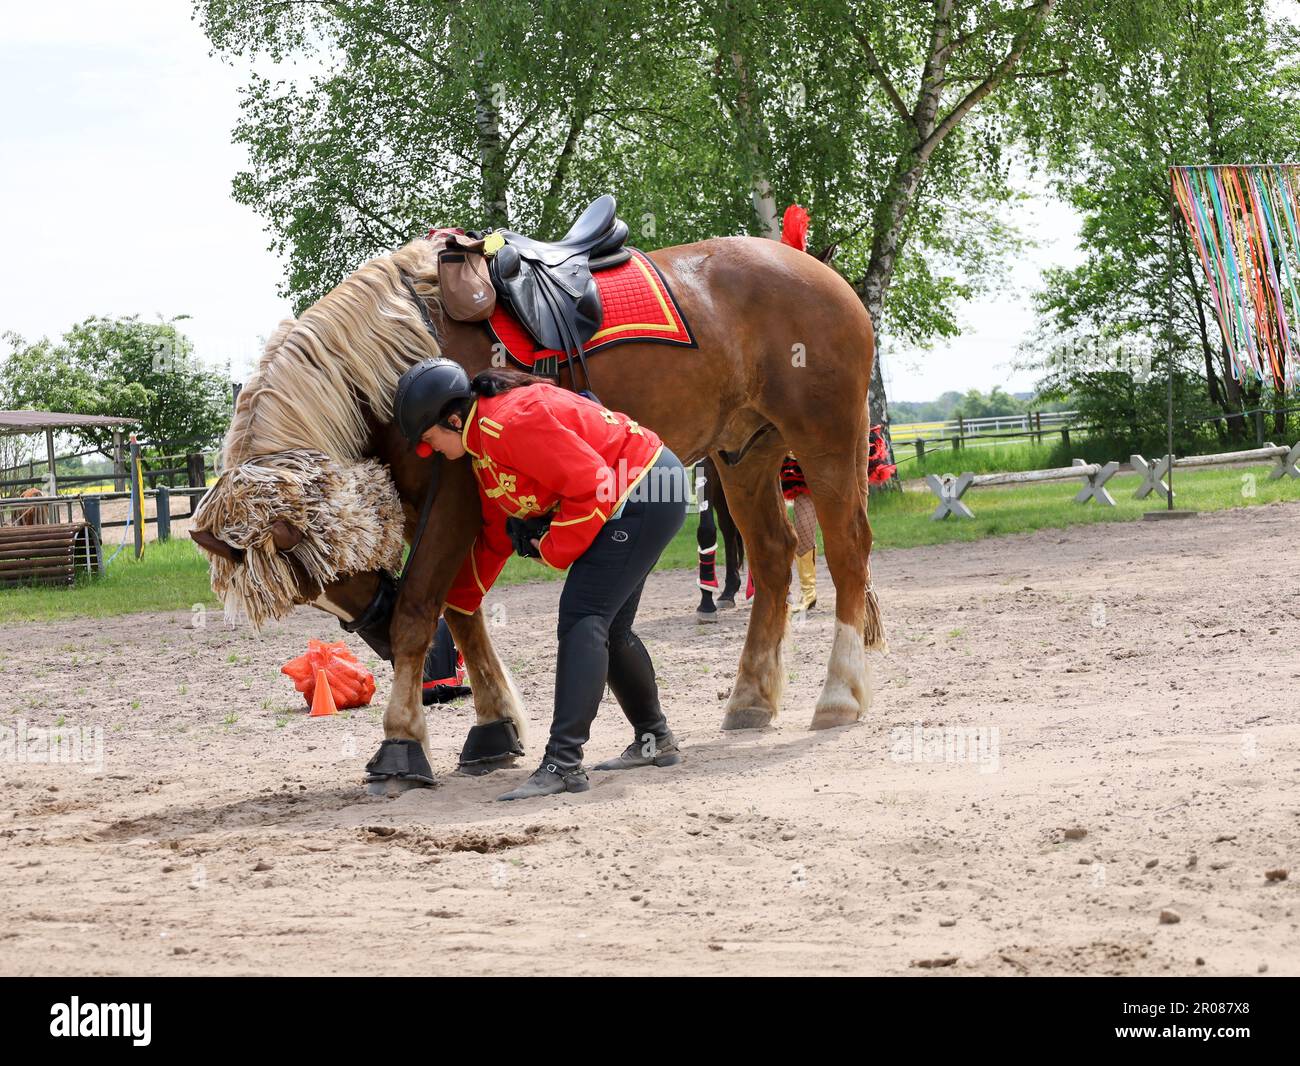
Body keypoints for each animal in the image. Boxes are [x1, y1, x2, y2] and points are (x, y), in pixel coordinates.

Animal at [191, 226, 882, 786]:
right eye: (314, 591)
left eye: (323, 571)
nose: (375, 636)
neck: (399, 350)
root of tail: (817, 269)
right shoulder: (435, 509)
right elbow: (460, 611)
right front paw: (493, 727)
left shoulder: (455, 498)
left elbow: (423, 609)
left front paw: (402, 741)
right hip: (745, 456)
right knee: (772, 558)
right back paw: (750, 700)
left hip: (824, 441)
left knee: (848, 553)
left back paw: (839, 695)